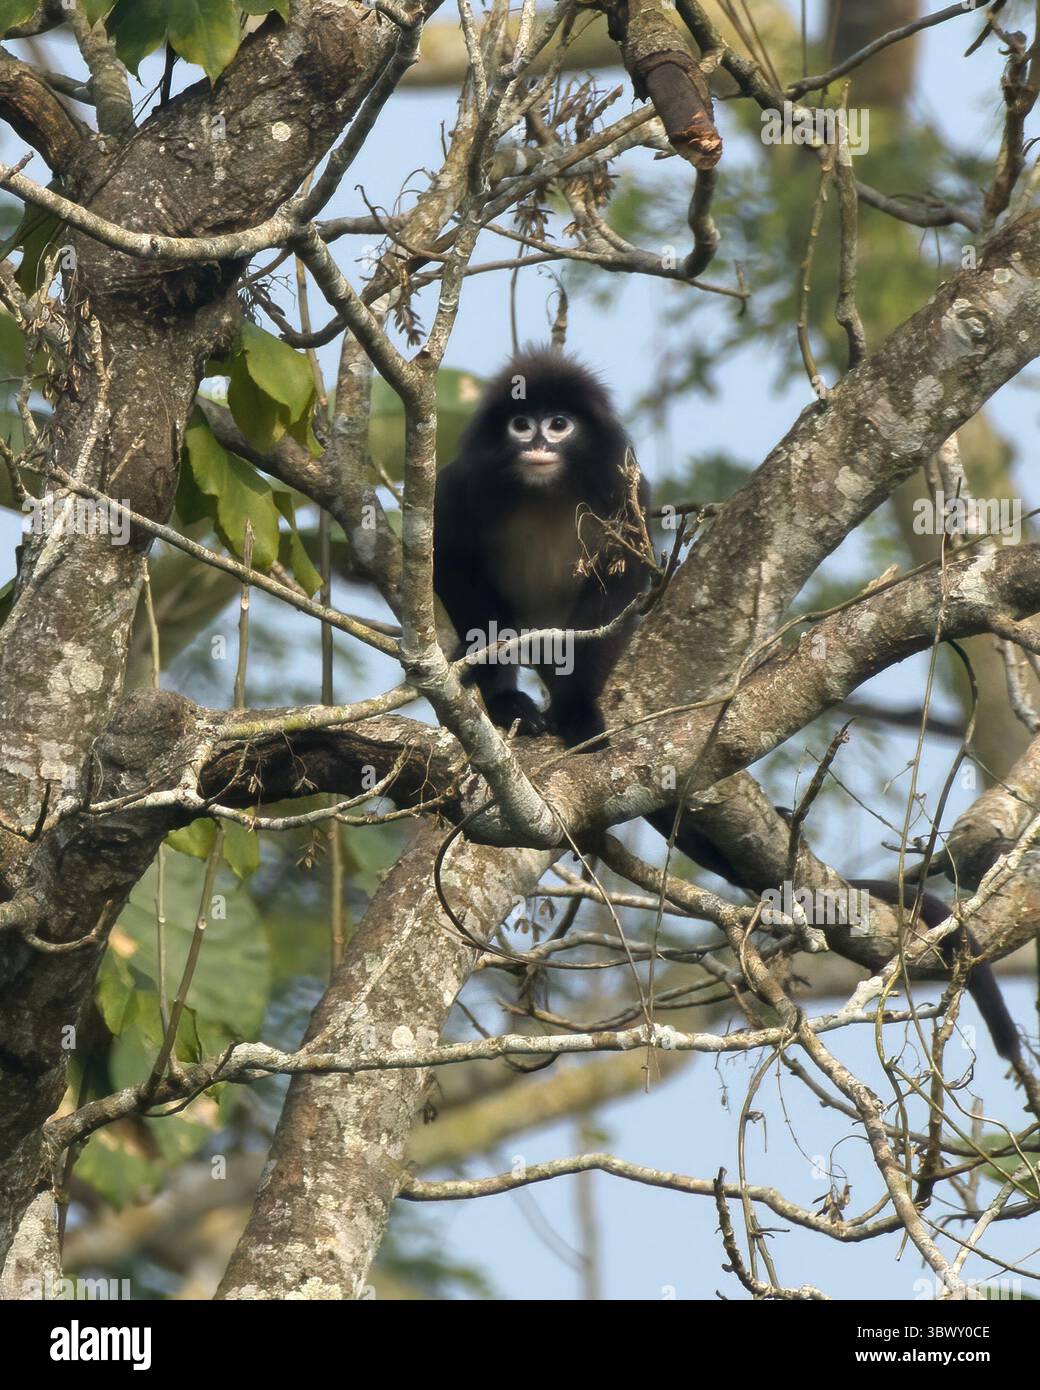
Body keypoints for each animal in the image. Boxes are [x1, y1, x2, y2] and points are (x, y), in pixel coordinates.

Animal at [433, 348, 650, 745]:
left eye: (558, 424)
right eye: (521, 425)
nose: (538, 446)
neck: (546, 490)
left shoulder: (629, 497)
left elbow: (615, 593)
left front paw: (576, 710)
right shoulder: (462, 485)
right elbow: (454, 565)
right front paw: (503, 698)